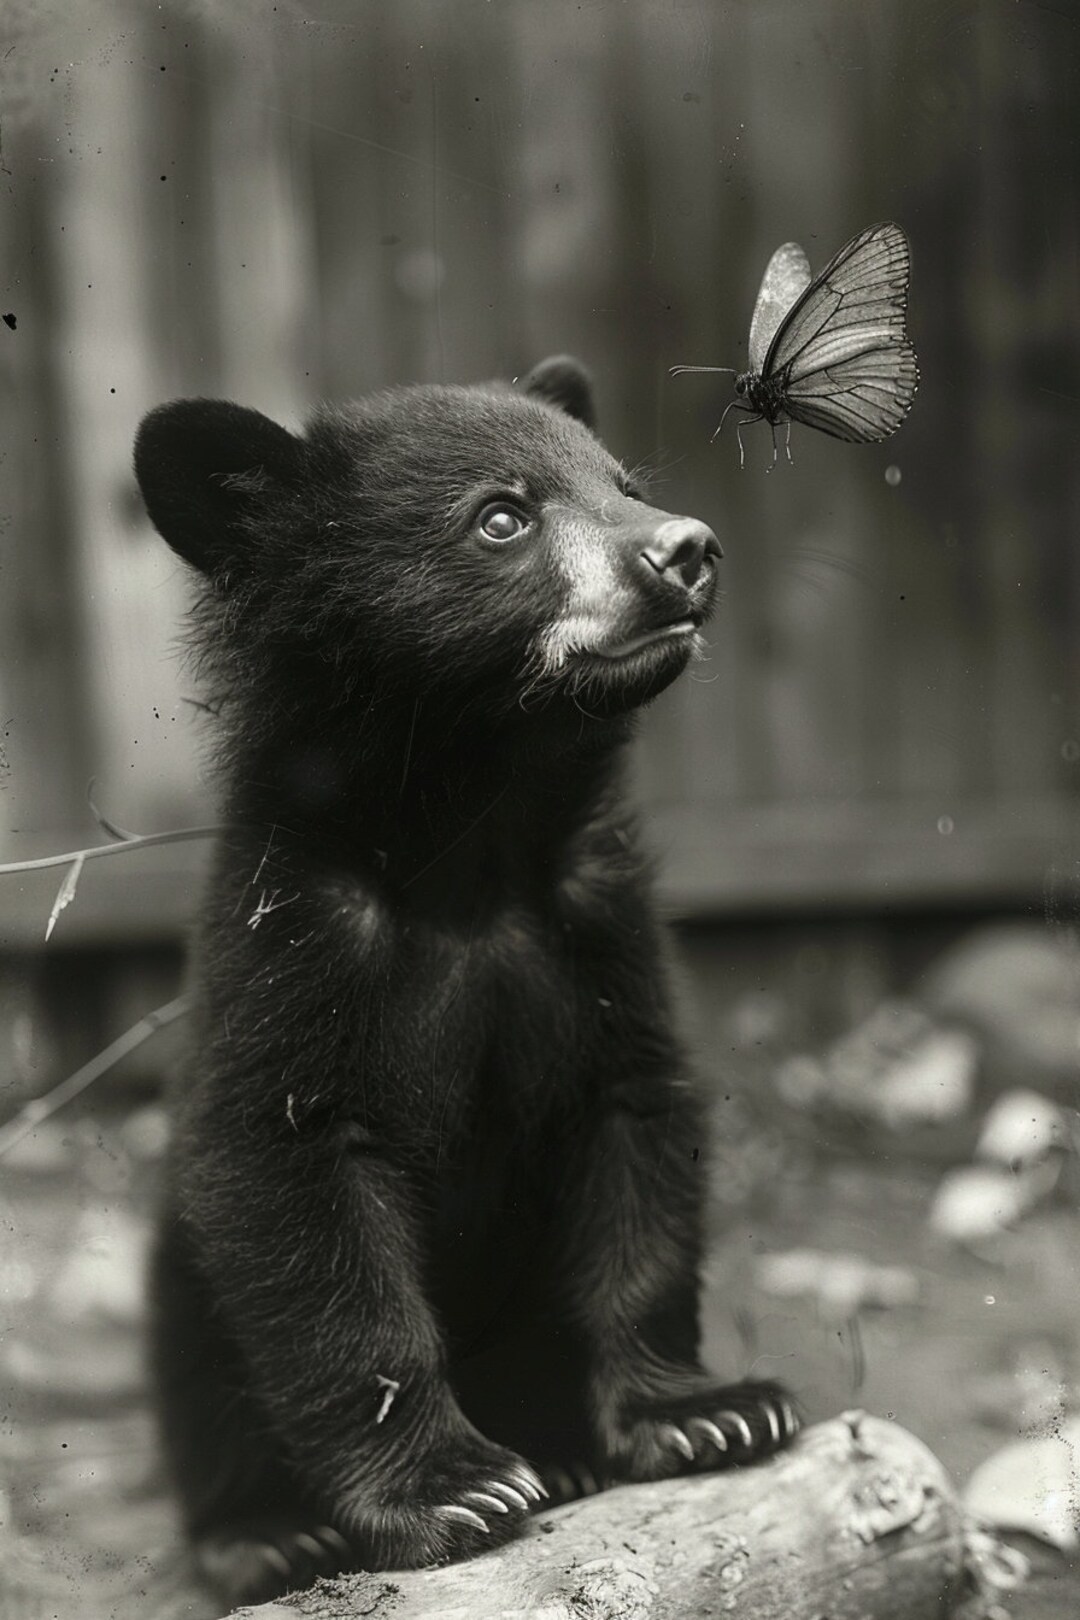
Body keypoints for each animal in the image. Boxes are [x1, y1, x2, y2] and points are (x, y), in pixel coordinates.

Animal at [134, 356, 798, 1607]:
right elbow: (300, 1200)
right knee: (197, 1360)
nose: (687, 549)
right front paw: (454, 1489)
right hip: (179, 1283)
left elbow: (638, 1129)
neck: (471, 839)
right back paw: (266, 1533)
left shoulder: (598, 922)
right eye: (501, 518)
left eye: (625, 484)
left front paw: (710, 1414)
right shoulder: (292, 941)